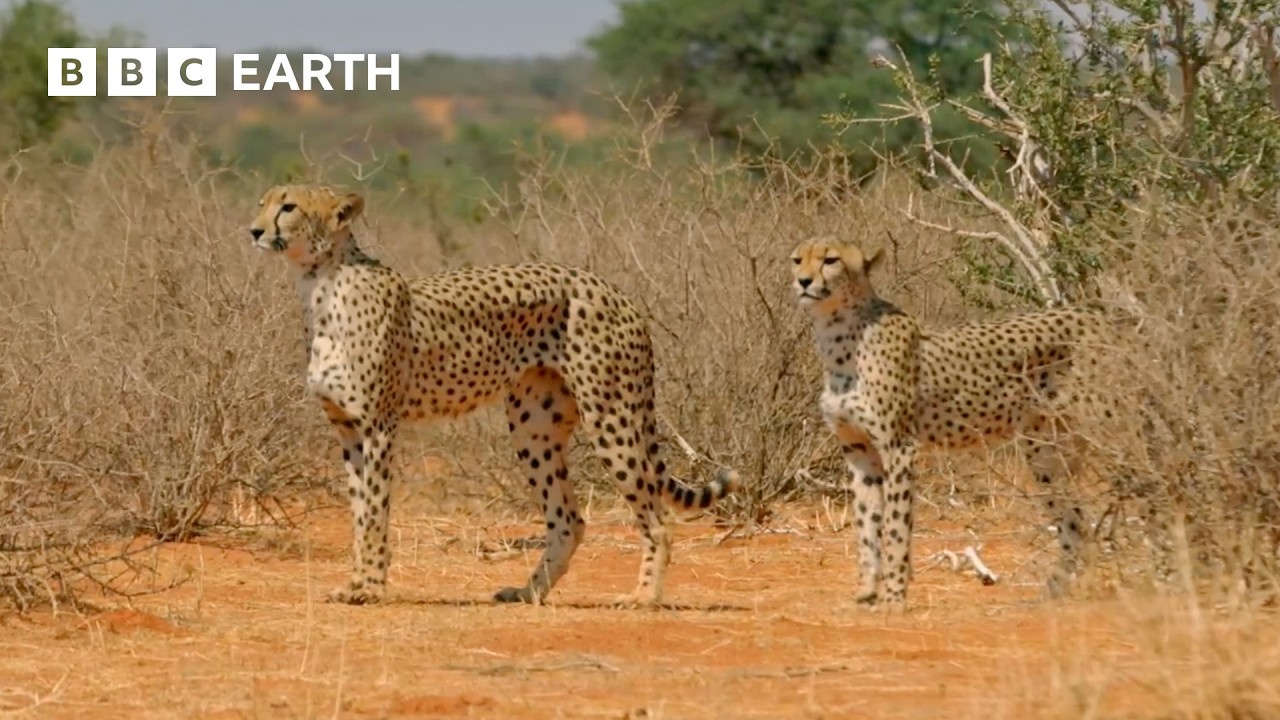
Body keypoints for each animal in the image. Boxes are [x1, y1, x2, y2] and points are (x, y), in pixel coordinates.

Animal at [247, 183, 740, 607]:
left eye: (288, 207)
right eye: (263, 202)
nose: (254, 230)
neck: (320, 284)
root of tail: (612, 288)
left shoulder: (378, 426)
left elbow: (374, 511)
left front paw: (369, 587)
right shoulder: (347, 430)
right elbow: (358, 512)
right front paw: (356, 583)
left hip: (612, 417)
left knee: (658, 518)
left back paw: (644, 597)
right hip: (534, 429)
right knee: (568, 518)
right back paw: (529, 592)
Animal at [790, 237, 1114, 612]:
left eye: (830, 260)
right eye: (797, 259)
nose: (803, 281)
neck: (838, 333)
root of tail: (1100, 316)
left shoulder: (899, 448)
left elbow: (896, 527)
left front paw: (894, 597)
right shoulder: (860, 453)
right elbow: (866, 525)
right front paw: (867, 591)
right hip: (1047, 455)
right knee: (1075, 522)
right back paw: (1062, 592)